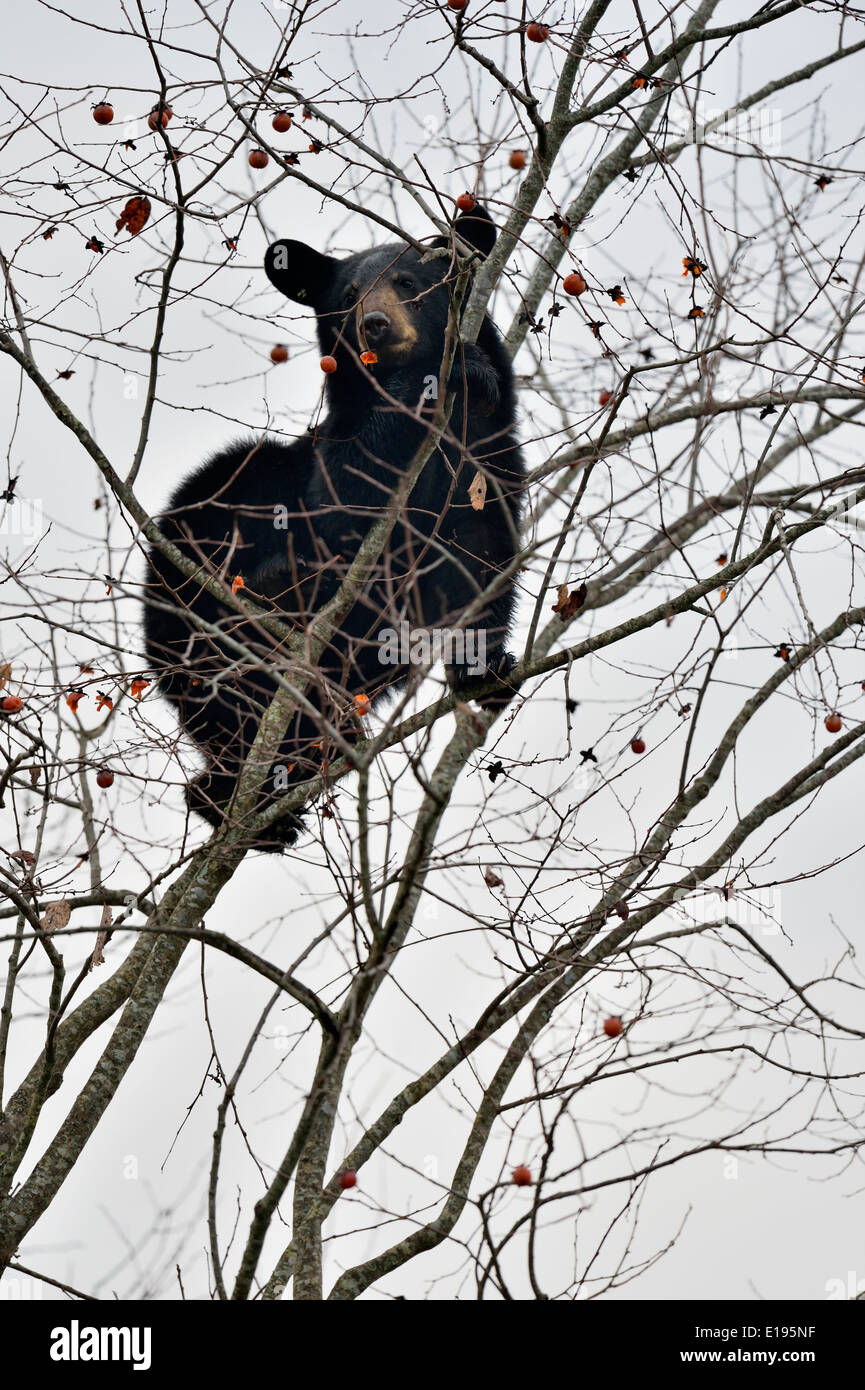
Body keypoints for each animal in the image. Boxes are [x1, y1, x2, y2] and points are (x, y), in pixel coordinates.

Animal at [143, 203, 525, 850]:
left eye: (408, 282)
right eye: (347, 295)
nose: (375, 323)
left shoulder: (490, 461)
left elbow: (483, 556)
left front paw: (487, 668)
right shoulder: (336, 460)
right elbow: (344, 499)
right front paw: (440, 376)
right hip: (199, 576)